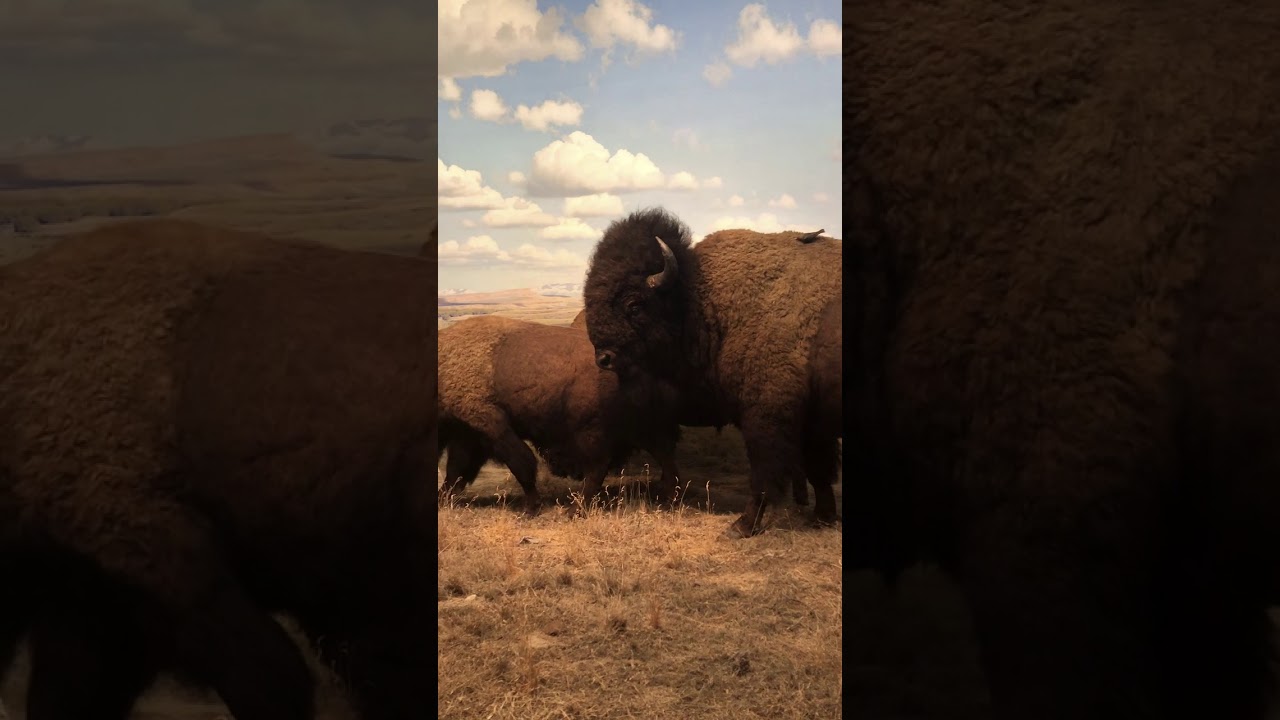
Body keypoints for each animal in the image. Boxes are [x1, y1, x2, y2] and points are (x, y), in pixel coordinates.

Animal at [437, 315, 682, 514]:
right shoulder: (466, 433)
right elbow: (455, 470)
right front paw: (442, 499)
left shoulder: (491, 425)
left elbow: (520, 463)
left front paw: (531, 507)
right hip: (640, 429)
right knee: (664, 453)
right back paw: (669, 499)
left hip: (591, 432)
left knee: (598, 467)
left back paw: (576, 510)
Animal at [582, 208, 842, 538]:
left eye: (635, 305)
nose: (604, 358)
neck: (700, 300)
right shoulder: (811, 421)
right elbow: (819, 469)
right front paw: (822, 517)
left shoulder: (766, 417)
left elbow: (765, 475)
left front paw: (741, 526)